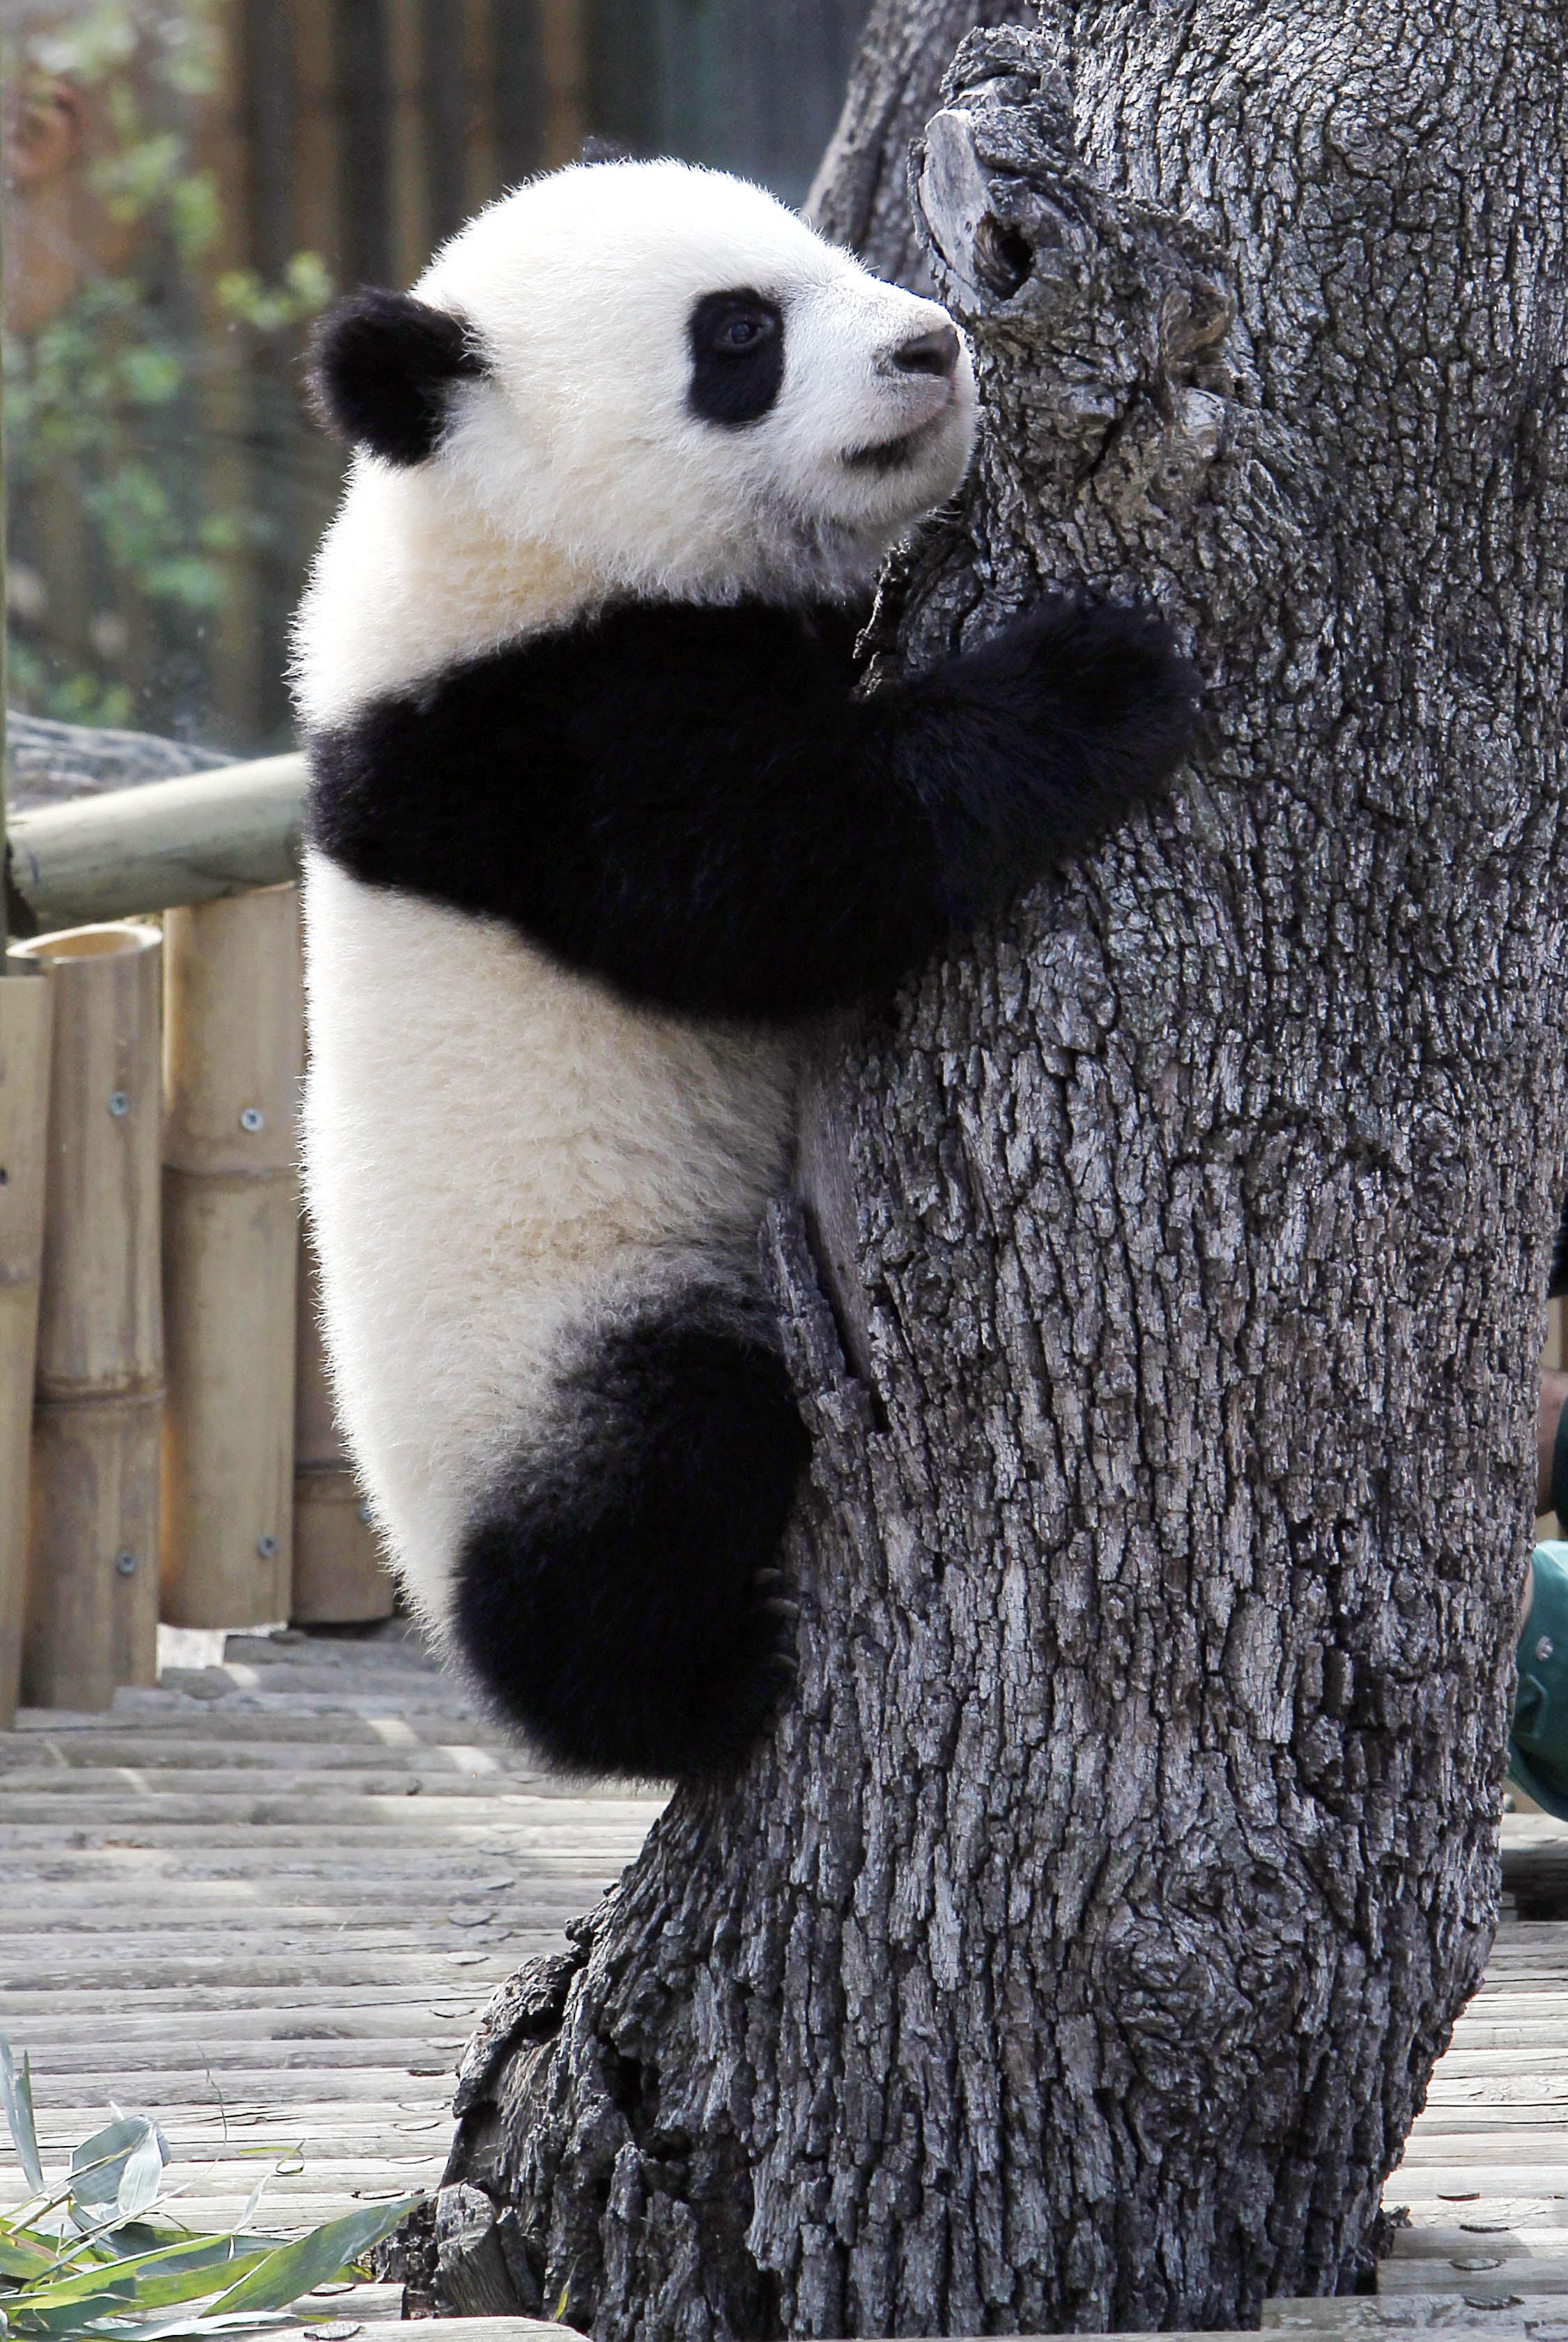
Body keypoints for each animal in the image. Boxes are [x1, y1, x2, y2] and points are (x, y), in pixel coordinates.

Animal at [293, 156, 1196, 1783]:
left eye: (823, 248)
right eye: (738, 337)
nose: (930, 347)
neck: (500, 529)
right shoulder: (531, 732)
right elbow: (785, 874)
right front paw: (1099, 677)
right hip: (561, 1335)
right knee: (649, 1479)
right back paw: (685, 1692)